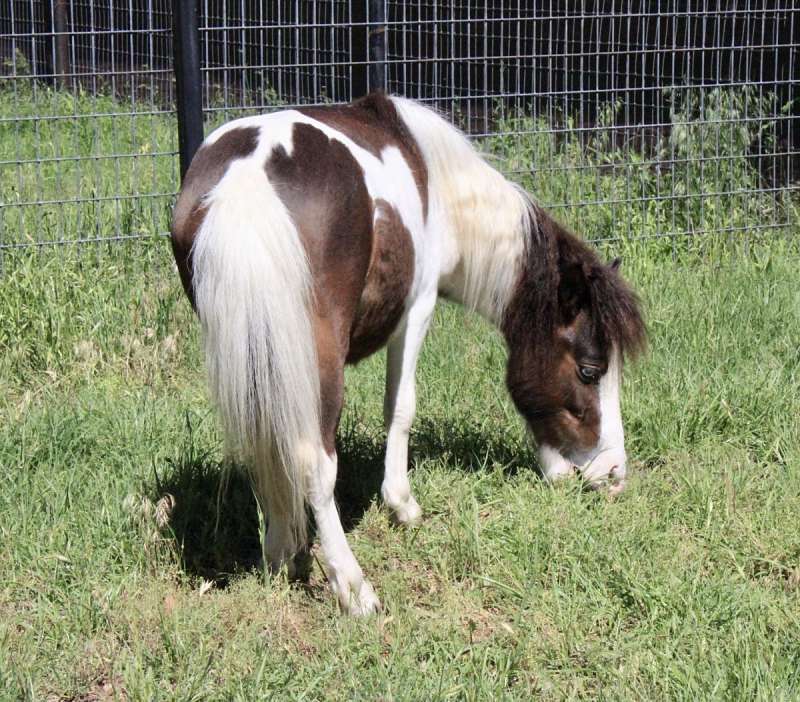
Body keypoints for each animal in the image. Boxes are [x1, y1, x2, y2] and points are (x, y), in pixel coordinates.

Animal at [170, 92, 645, 615]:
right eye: (589, 370)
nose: (614, 471)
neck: (438, 185)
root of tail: (249, 178)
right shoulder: (417, 310)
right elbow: (400, 410)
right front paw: (402, 505)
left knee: (265, 438)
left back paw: (281, 553)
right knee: (313, 460)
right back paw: (352, 587)